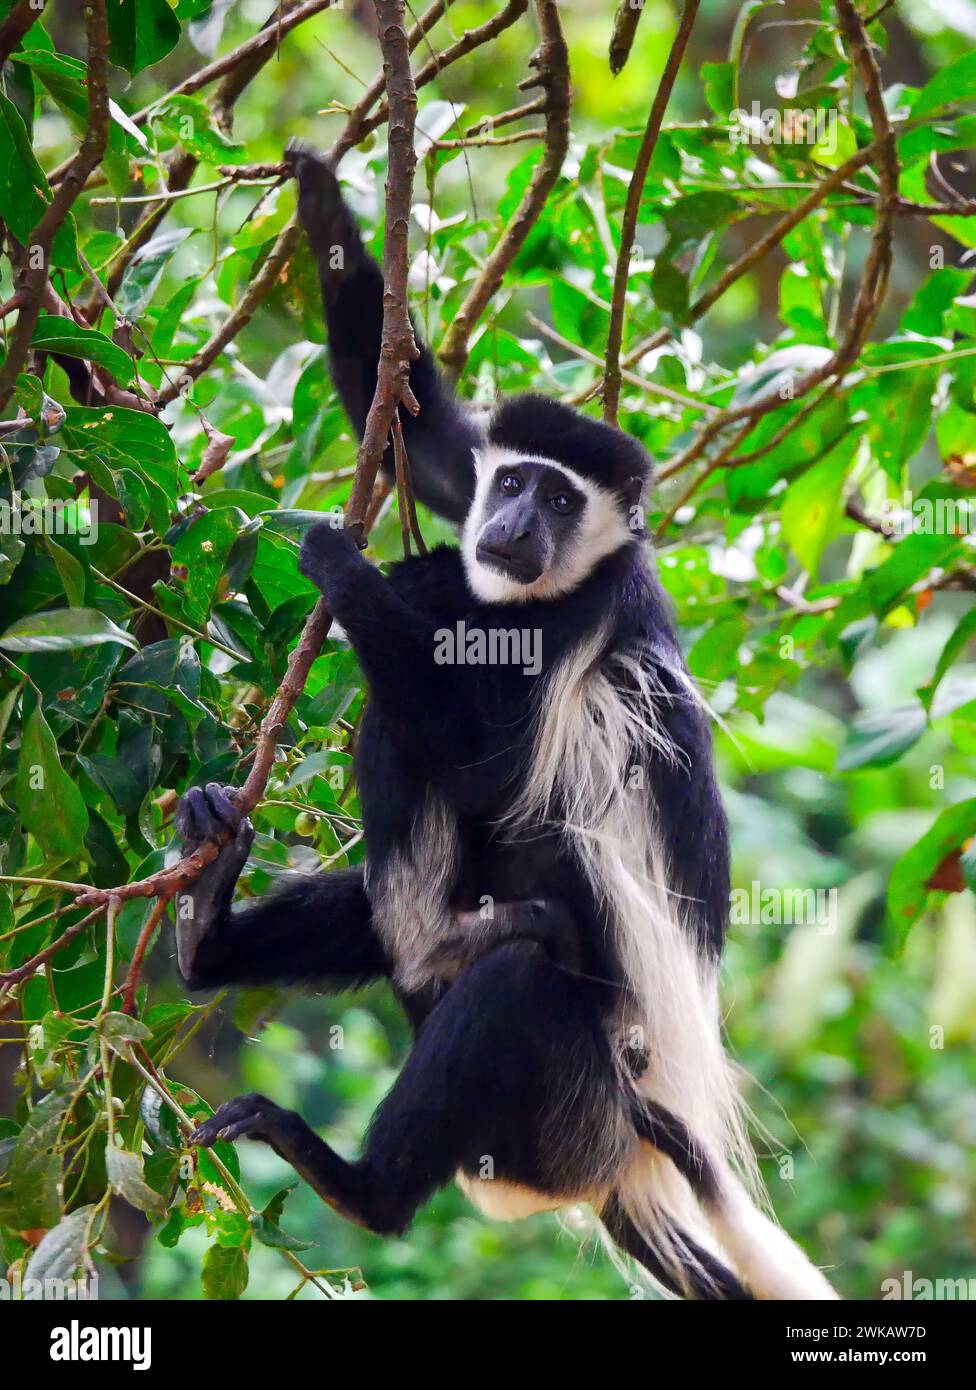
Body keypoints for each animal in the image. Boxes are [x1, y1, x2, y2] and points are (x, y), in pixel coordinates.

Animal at [172, 145, 839, 1301]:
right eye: (519, 481)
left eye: (563, 504)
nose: (514, 525)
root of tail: (631, 1152)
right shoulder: (483, 500)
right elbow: (432, 451)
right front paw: (320, 190)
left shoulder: (574, 614)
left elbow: (493, 769)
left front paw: (348, 567)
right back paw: (207, 928)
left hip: (563, 1103)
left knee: (514, 963)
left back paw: (358, 1181)